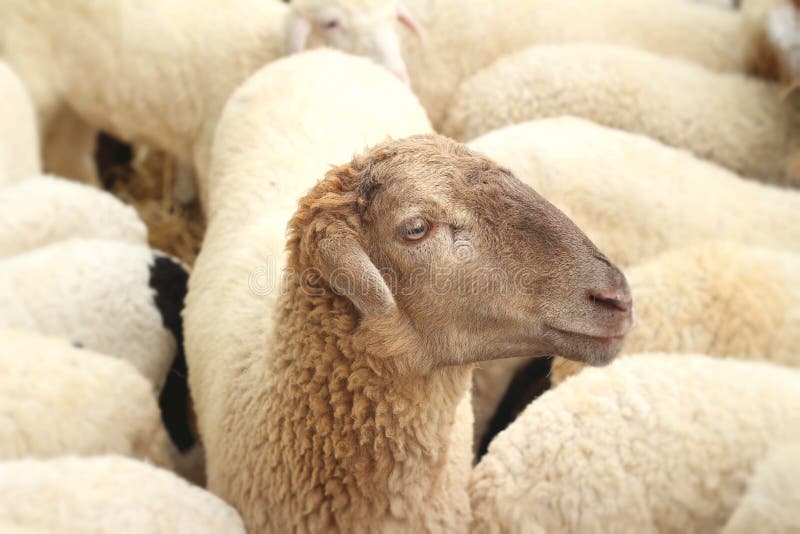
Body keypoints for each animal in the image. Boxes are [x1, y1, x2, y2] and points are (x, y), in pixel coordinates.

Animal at [0, 0, 418, 197]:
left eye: (393, 18)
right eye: (331, 23)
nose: (398, 74)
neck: (265, 47)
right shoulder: (209, 143)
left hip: (72, 103)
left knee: (67, 153)